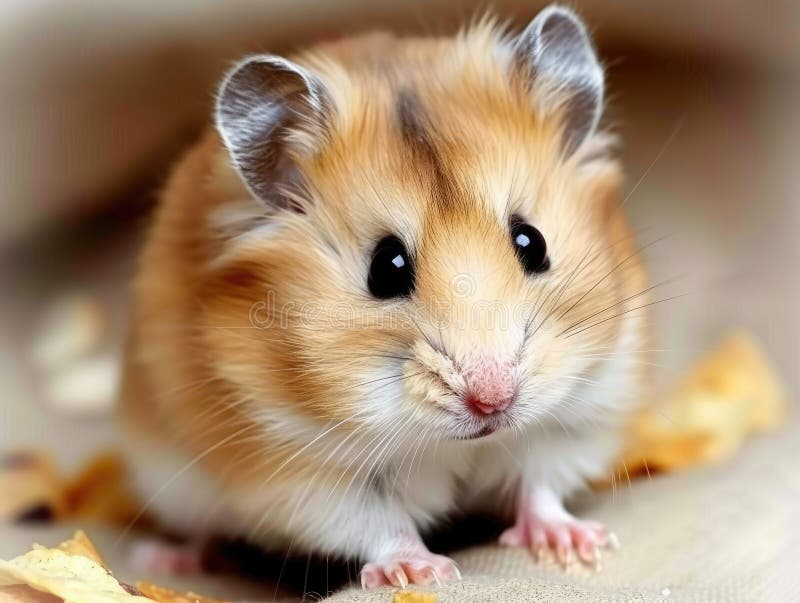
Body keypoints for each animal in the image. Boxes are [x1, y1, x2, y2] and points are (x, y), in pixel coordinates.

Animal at [119, 5, 650, 588]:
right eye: (386, 268)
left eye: (532, 242)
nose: (493, 402)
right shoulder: (300, 469)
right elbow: (379, 523)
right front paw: (423, 573)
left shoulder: (578, 413)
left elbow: (539, 485)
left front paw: (580, 544)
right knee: (200, 530)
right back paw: (168, 559)